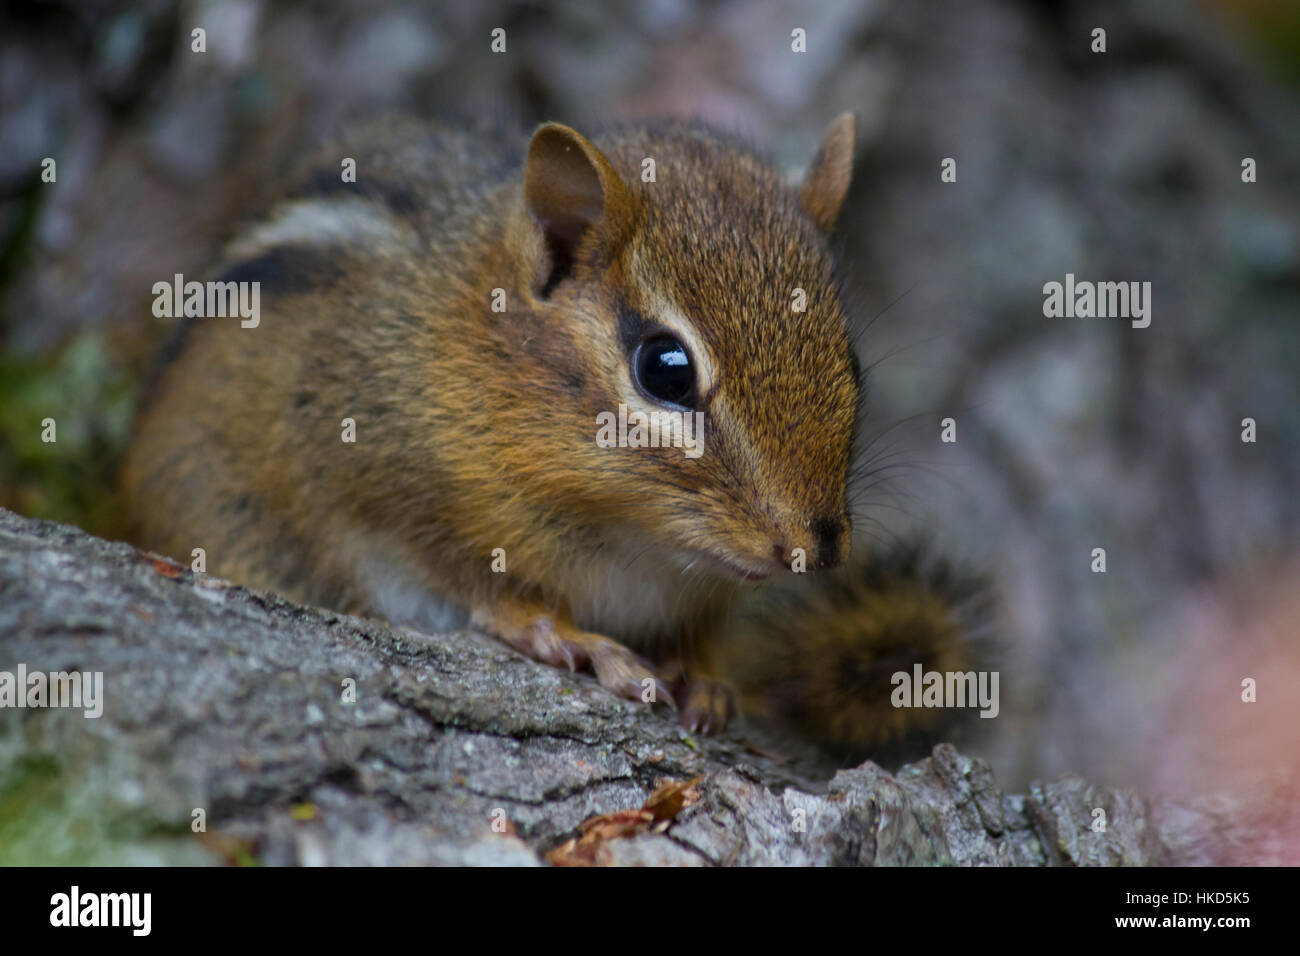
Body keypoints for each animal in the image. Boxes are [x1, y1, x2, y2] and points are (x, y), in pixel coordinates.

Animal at [122, 114, 980, 758]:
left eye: (851, 360)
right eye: (665, 369)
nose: (817, 546)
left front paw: (704, 675)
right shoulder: (376, 480)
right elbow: (469, 581)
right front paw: (573, 639)